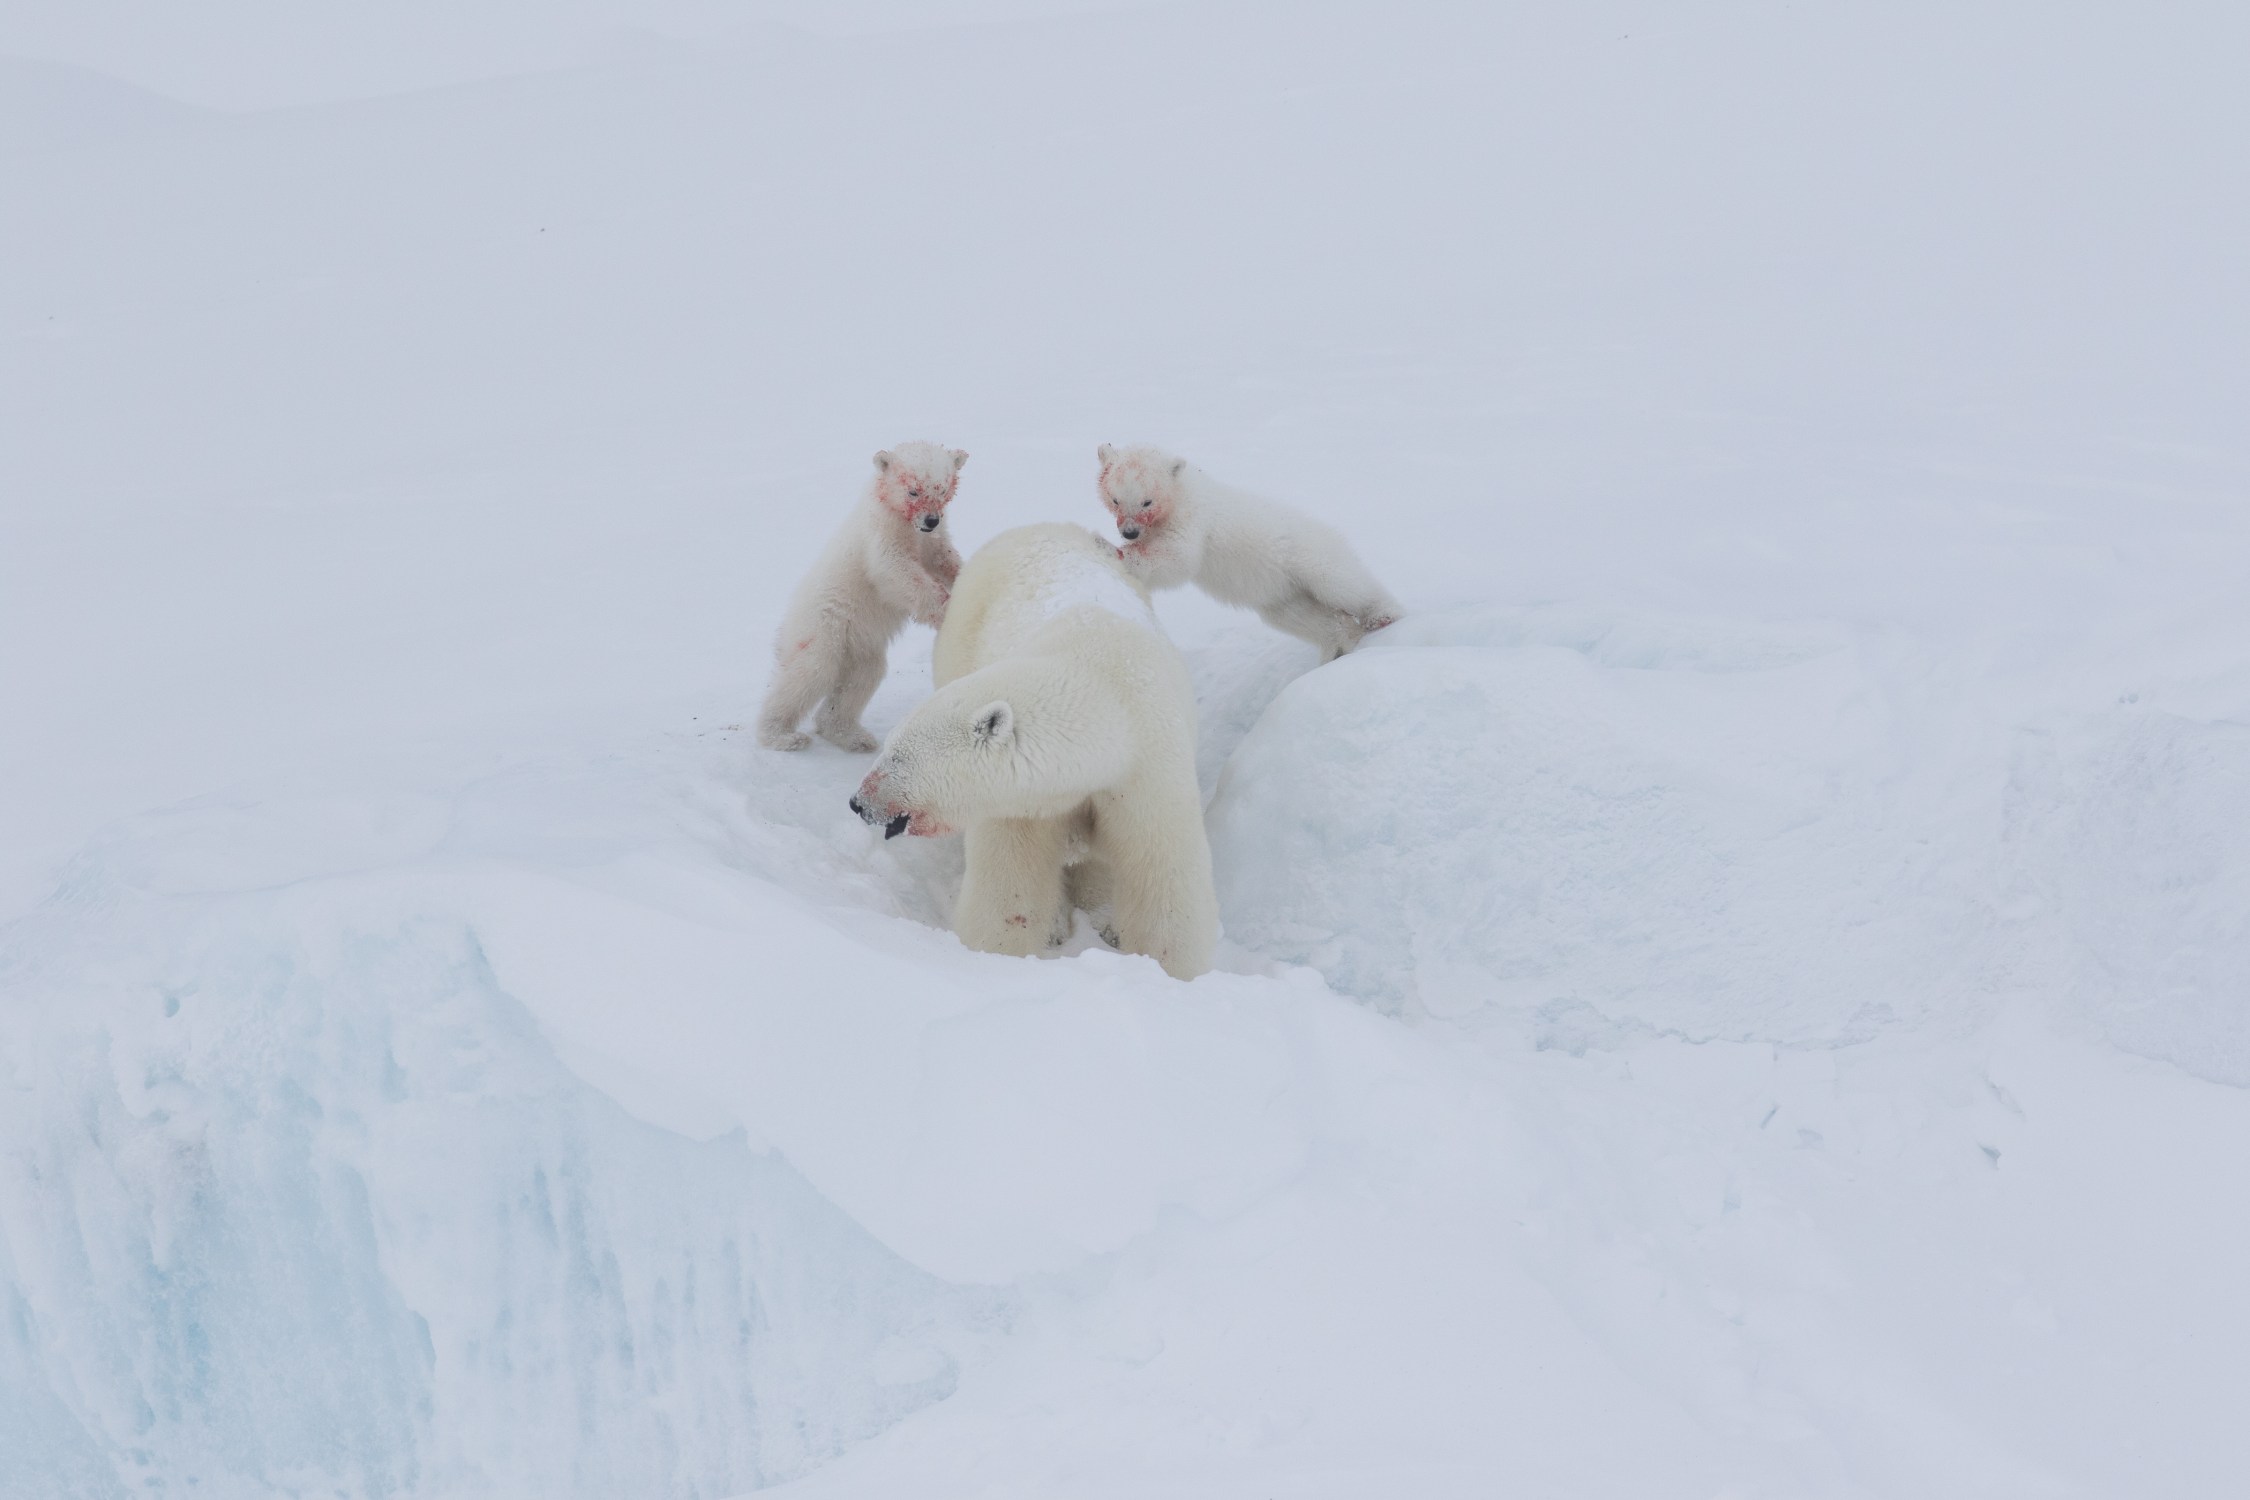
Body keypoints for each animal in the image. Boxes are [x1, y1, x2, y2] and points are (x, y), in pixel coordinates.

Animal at [758, 442, 969, 752]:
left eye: (942, 490)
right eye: (913, 491)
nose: (931, 519)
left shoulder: (933, 539)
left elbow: (944, 559)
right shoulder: (880, 535)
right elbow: (896, 570)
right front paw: (944, 608)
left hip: (858, 641)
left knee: (861, 677)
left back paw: (852, 735)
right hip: (823, 625)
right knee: (810, 672)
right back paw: (781, 735)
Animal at [849, 522, 1219, 980]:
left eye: (897, 757)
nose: (858, 802)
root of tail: (1035, 527)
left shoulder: (1146, 771)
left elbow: (1163, 879)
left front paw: (1171, 971)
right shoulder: (1023, 801)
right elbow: (1009, 889)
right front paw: (997, 955)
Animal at [1095, 443, 1402, 660]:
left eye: (1147, 501)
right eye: (1115, 499)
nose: (1129, 532)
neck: (1182, 492)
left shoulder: (1191, 519)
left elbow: (1178, 558)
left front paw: (1110, 548)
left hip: (1308, 555)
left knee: (1343, 584)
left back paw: (1383, 615)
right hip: (1283, 592)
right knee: (1304, 616)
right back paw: (1338, 646)